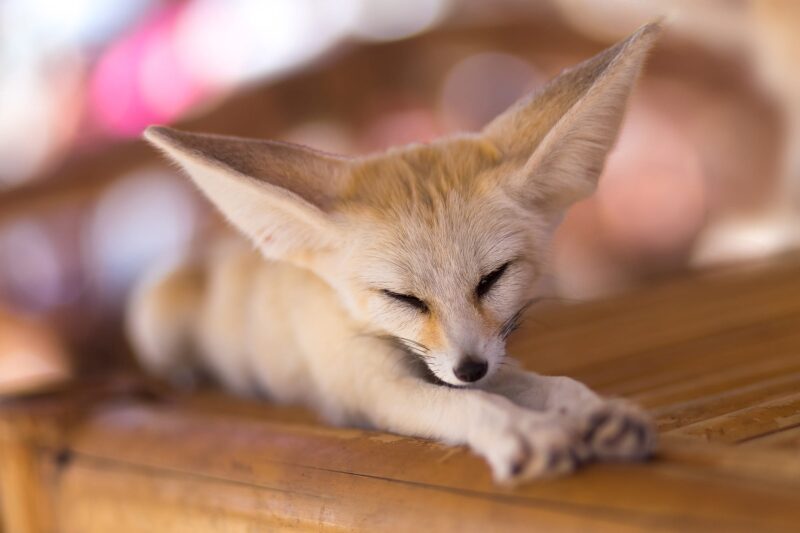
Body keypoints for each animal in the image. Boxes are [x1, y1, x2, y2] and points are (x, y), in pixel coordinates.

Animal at [128, 23, 660, 483]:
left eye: (492, 278)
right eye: (403, 298)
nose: (470, 369)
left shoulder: (469, 359)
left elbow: (552, 385)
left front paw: (597, 411)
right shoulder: (370, 385)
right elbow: (468, 404)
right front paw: (522, 430)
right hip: (158, 320)